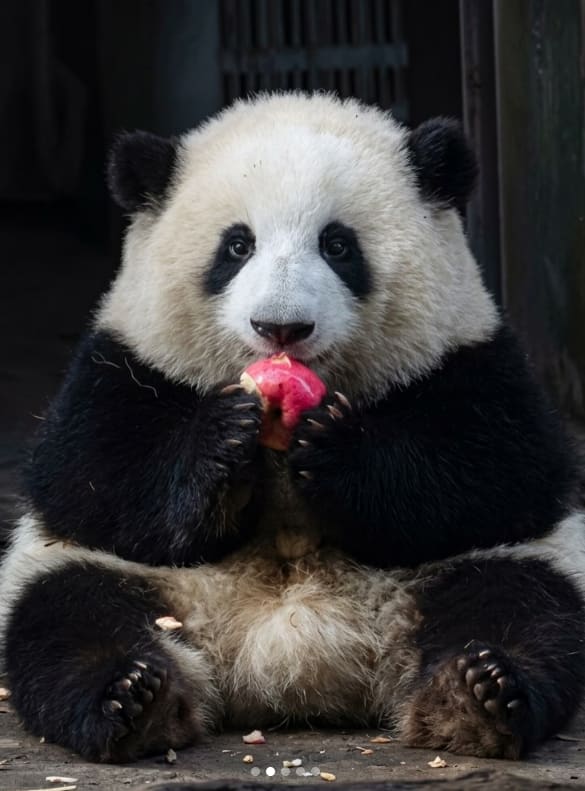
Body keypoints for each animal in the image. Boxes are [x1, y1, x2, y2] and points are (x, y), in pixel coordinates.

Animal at [1, 93, 584, 764]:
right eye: (236, 247)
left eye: (337, 245)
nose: (281, 327)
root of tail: (287, 663)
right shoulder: (123, 363)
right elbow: (89, 480)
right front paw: (224, 442)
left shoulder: (472, 360)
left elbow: (503, 475)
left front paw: (335, 451)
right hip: (108, 577)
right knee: (66, 619)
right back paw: (132, 699)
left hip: (471, 572)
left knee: (523, 608)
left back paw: (473, 694)